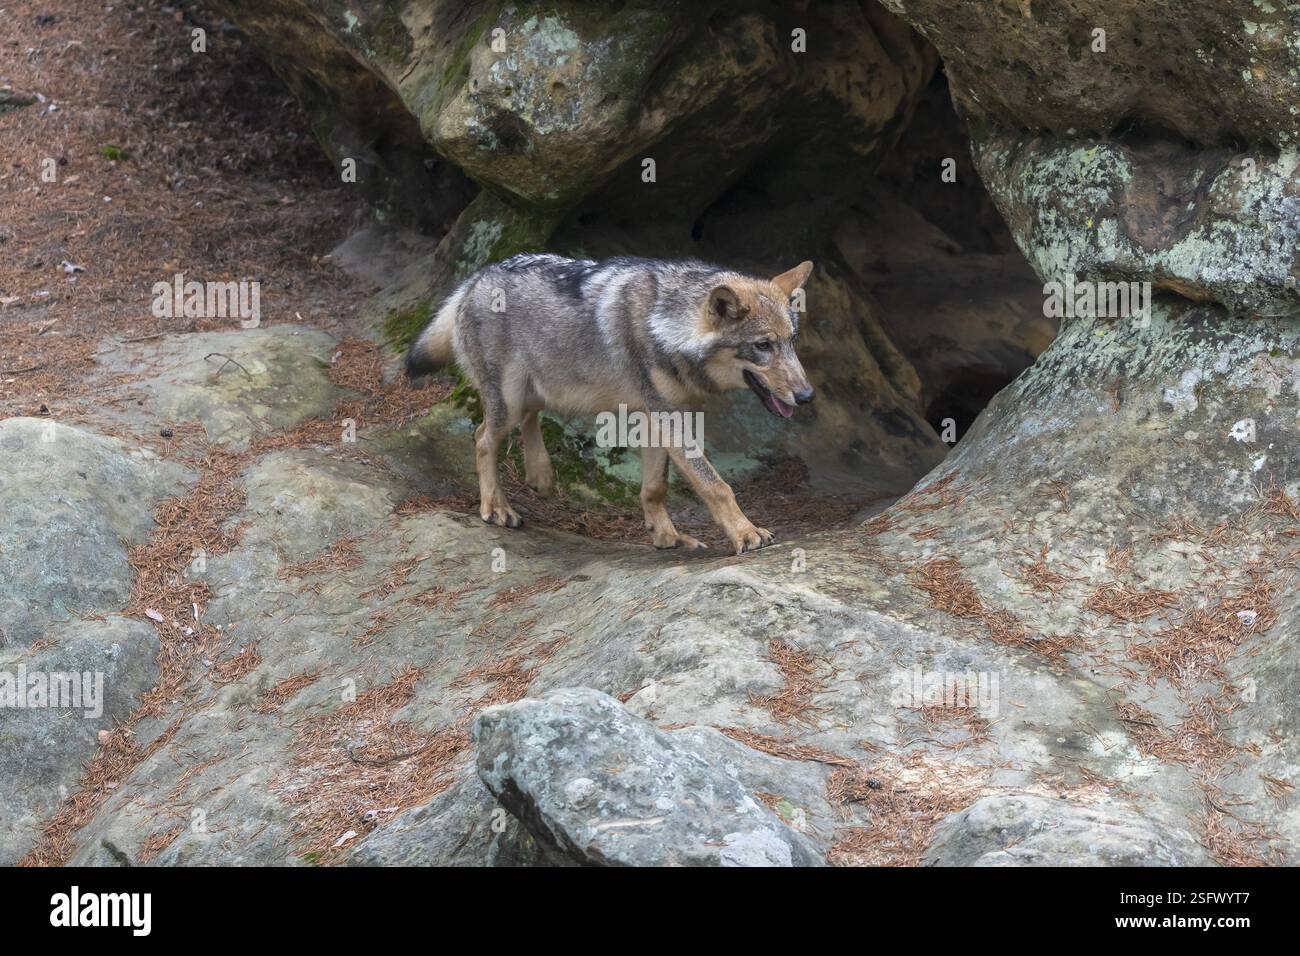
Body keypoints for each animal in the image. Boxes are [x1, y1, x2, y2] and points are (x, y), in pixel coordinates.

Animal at [405, 254, 815, 554]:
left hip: (536, 392)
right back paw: (497, 507)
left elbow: (655, 487)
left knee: (527, 420)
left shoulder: (657, 416)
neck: (665, 326)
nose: (807, 396)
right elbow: (714, 484)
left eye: (791, 341)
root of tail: (475, 278)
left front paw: (667, 536)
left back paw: (540, 475)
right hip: (508, 401)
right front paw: (746, 533)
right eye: (763, 346)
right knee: (481, 437)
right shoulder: (667, 416)